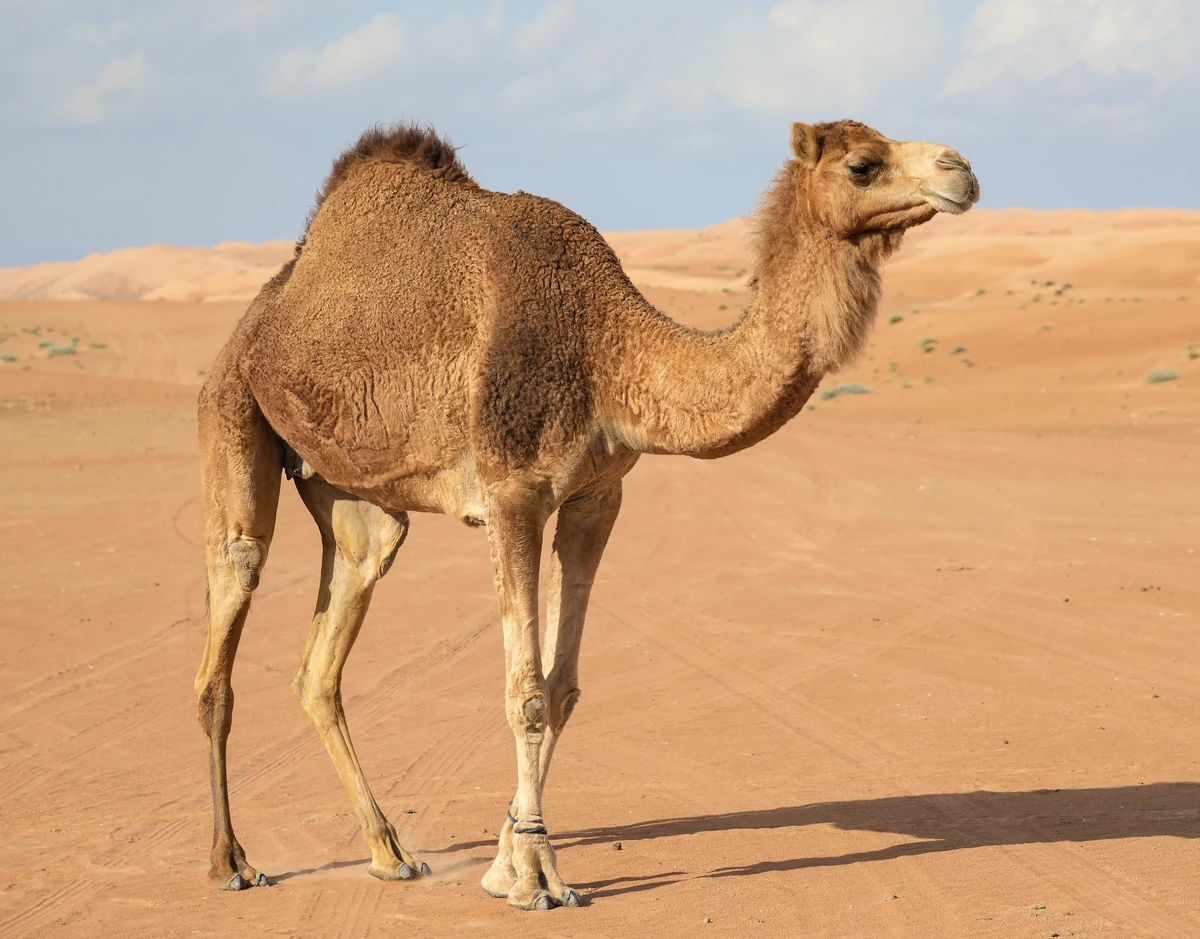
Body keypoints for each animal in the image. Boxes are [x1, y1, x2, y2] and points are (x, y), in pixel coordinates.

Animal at [194, 118, 979, 910]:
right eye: (862, 164)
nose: (963, 170)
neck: (606, 349)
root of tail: (259, 314)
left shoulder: (597, 497)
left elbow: (562, 687)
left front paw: (506, 859)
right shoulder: (511, 492)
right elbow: (526, 694)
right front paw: (536, 877)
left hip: (357, 501)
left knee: (326, 651)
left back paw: (390, 852)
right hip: (231, 411)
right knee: (230, 606)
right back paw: (232, 859)